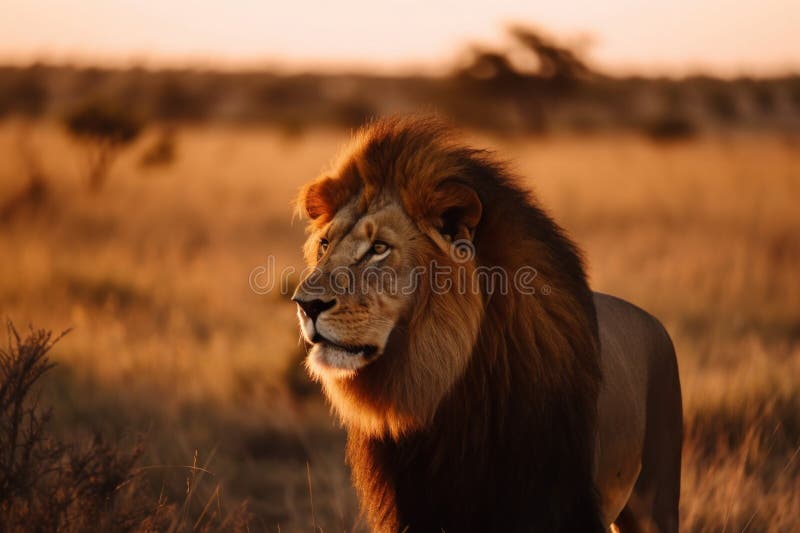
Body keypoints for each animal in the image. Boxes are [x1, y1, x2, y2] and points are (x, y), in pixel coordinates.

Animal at [291, 116, 682, 532]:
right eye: (325, 245)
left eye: (379, 248)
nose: (306, 304)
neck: (450, 390)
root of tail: (651, 320)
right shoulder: (413, 509)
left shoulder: (557, 503)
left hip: (658, 495)